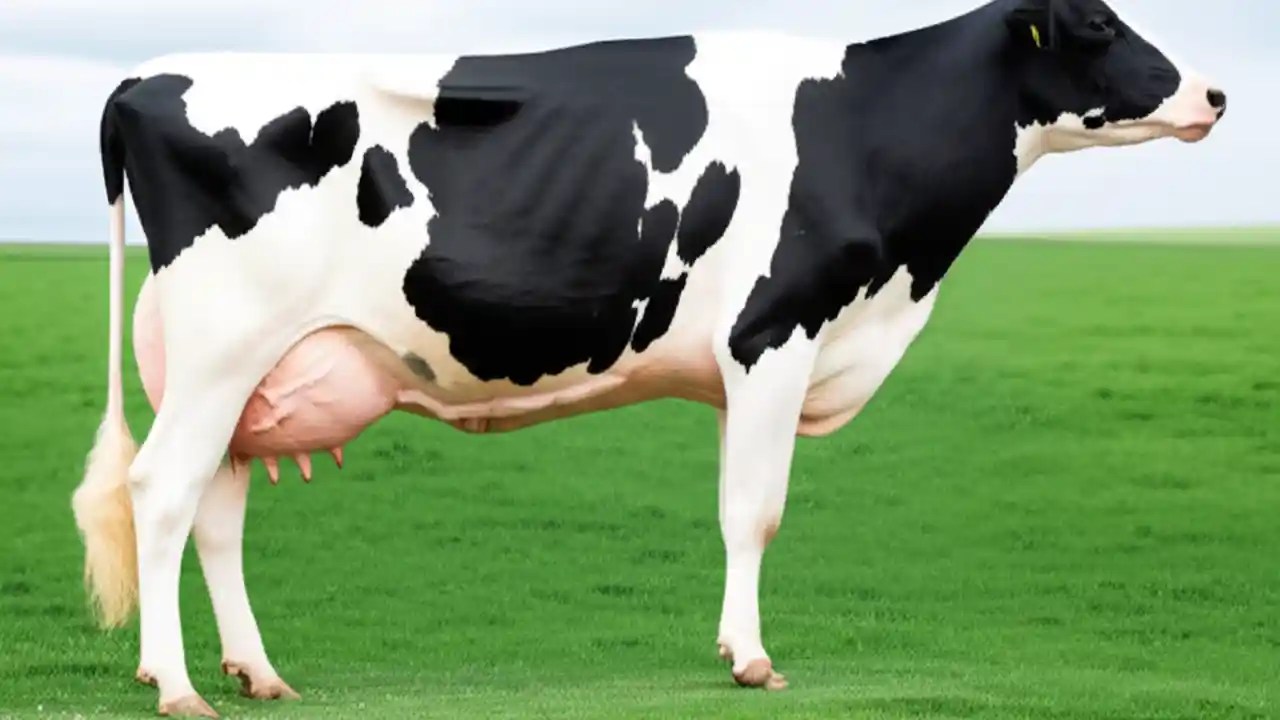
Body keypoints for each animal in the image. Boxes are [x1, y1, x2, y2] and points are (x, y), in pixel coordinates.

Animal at [70, 0, 1226, 715]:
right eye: (1097, 23)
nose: (1213, 95)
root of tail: (145, 77)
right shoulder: (774, 332)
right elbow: (756, 511)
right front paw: (752, 661)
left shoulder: (739, 367)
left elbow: (735, 506)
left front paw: (734, 647)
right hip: (221, 351)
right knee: (160, 492)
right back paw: (175, 685)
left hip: (242, 375)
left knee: (215, 511)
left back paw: (256, 673)